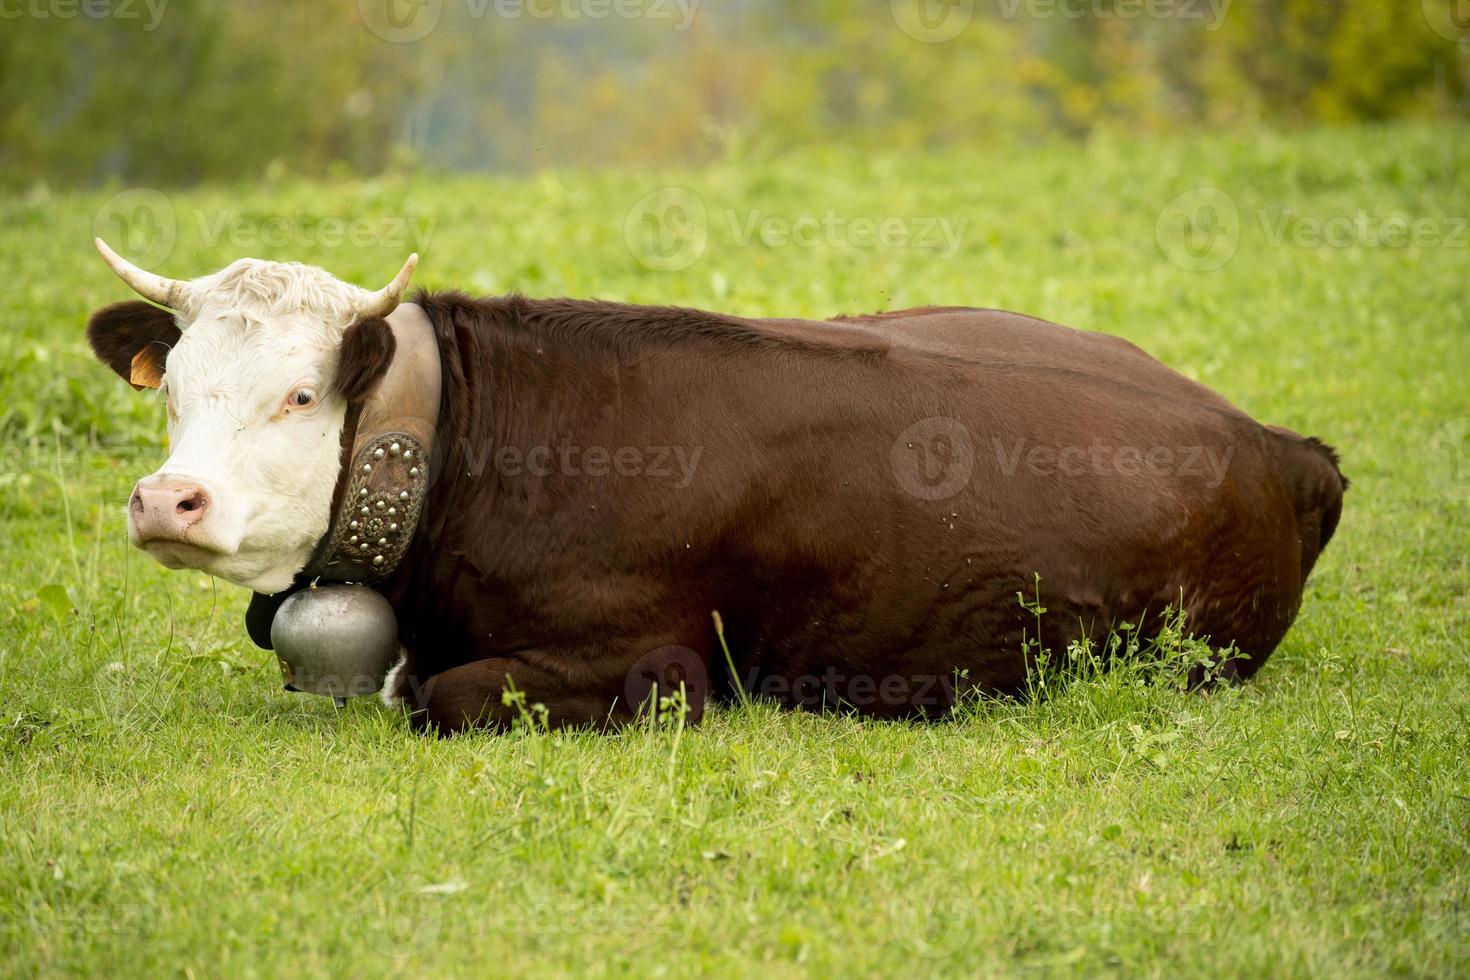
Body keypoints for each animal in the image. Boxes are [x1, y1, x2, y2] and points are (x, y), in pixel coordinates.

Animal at [85, 241, 1346, 734]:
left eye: (300, 396)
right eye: (175, 387)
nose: (167, 500)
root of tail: (1274, 441)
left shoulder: (654, 665)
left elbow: (438, 694)